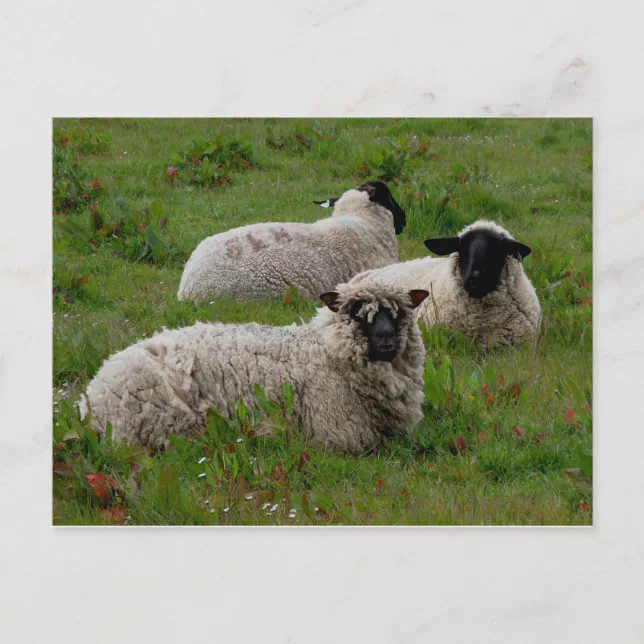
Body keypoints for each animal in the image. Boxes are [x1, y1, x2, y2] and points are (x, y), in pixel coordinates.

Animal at [81, 278, 429, 454]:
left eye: (399, 312)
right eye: (358, 311)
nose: (385, 337)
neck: (326, 351)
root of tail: (91, 397)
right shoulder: (339, 433)